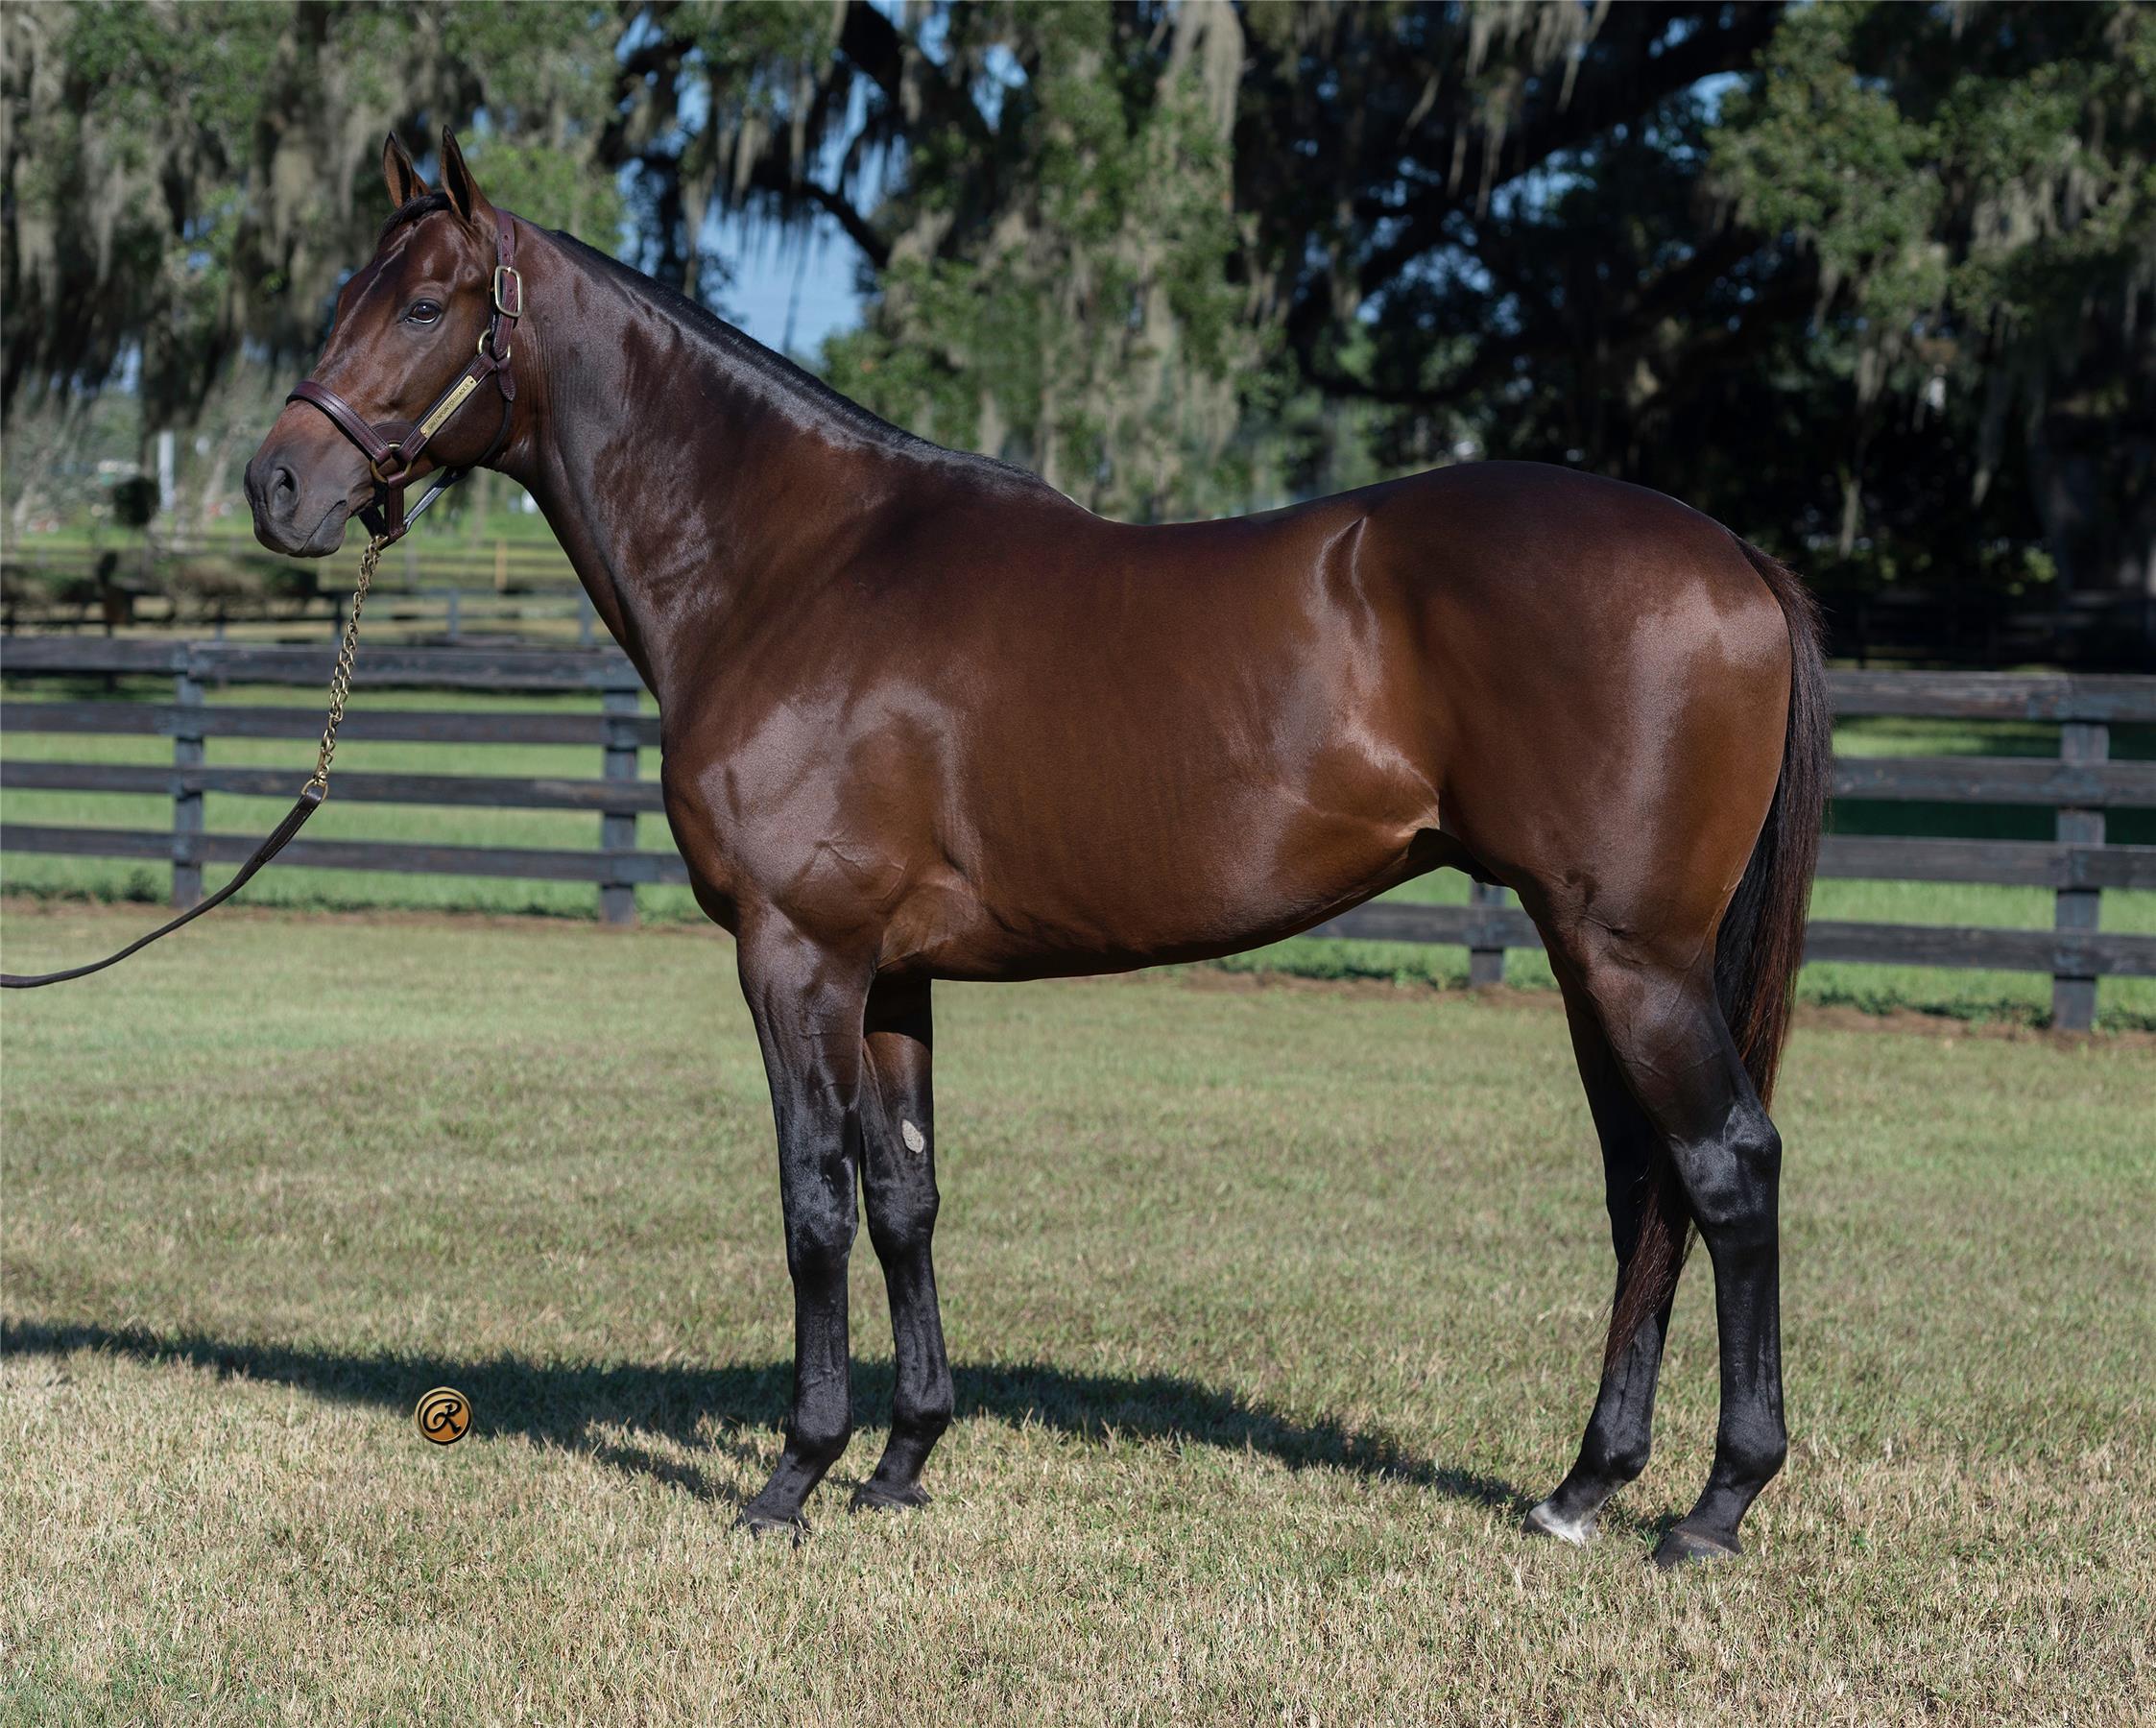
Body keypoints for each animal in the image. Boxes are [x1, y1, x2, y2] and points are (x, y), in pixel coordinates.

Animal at [246, 130, 1830, 1566]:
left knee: (1726, 1165)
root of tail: (1735, 561)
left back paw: (1712, 1506)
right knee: (1646, 1186)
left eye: (424, 305)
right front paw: (900, 1464)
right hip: (1590, 956)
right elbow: (904, 1198)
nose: (276, 487)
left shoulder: (795, 955)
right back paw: (1583, 1487)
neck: (793, 569)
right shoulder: (887, 975)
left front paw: (791, 1478)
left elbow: (812, 1201)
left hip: (1629, 955)